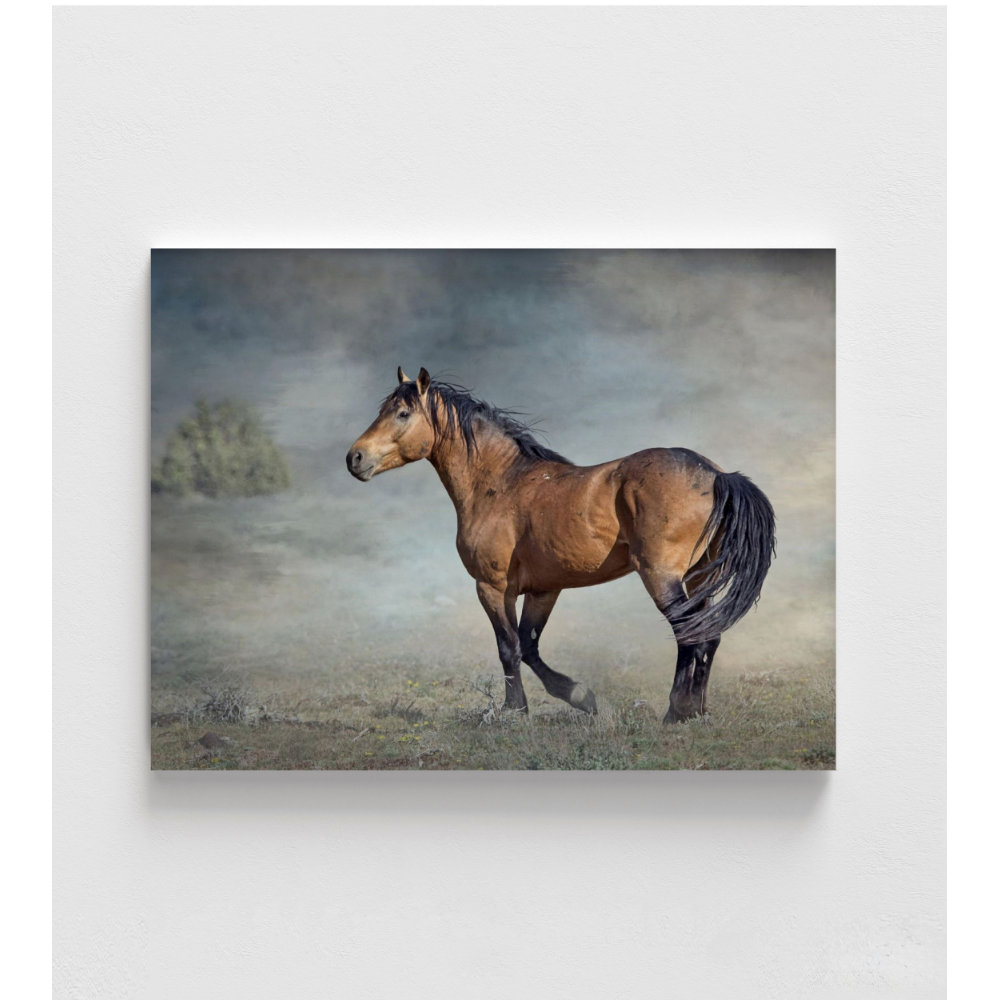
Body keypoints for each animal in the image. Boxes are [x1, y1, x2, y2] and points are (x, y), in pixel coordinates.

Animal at [347, 367, 775, 724]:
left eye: (403, 413)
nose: (355, 458)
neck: (501, 483)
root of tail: (717, 475)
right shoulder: (544, 590)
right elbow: (529, 646)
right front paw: (582, 698)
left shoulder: (492, 587)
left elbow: (508, 648)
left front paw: (515, 710)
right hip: (700, 577)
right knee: (708, 635)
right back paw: (697, 712)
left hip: (661, 576)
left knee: (690, 635)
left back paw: (675, 713)